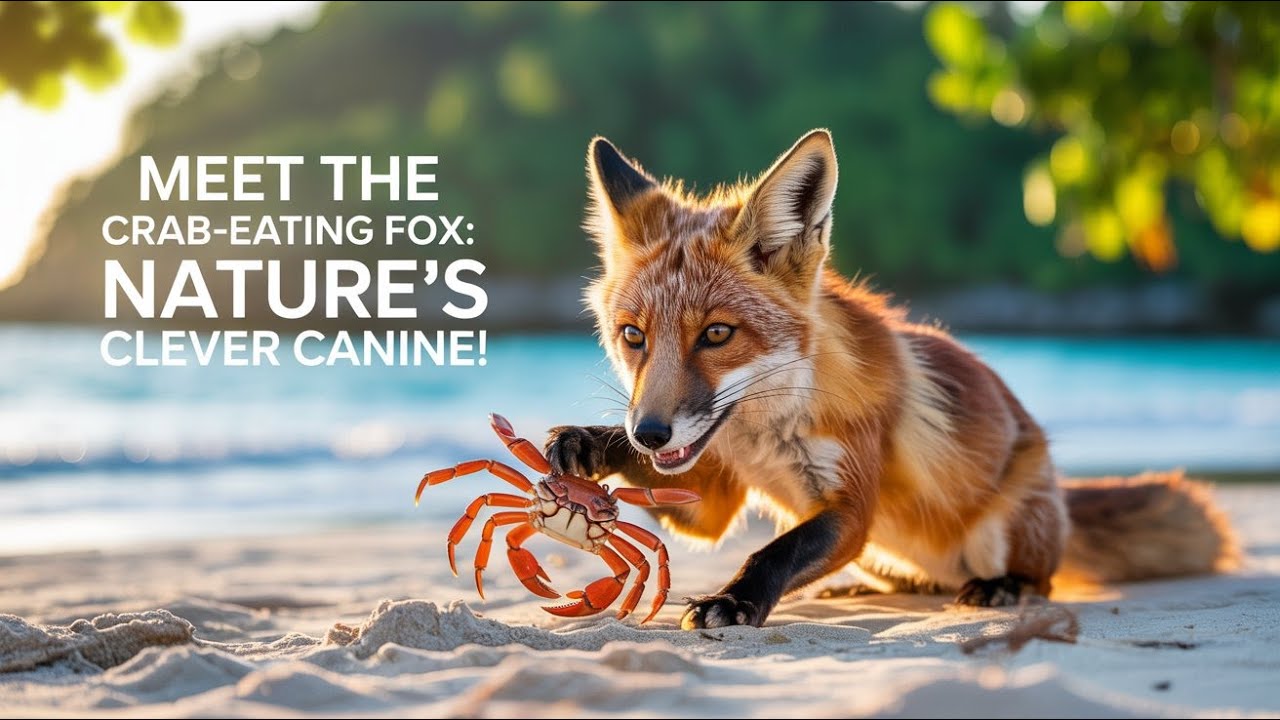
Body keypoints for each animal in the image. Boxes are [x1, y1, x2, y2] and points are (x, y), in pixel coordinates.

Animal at [544, 129, 1239, 629]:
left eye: (717, 334)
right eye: (633, 336)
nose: (651, 432)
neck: (766, 434)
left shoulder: (853, 503)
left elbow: (776, 550)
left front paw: (734, 602)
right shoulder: (715, 495)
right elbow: (697, 511)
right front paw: (588, 444)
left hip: (1005, 525)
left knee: (1039, 578)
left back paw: (1001, 587)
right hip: (891, 548)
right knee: (920, 579)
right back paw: (863, 587)